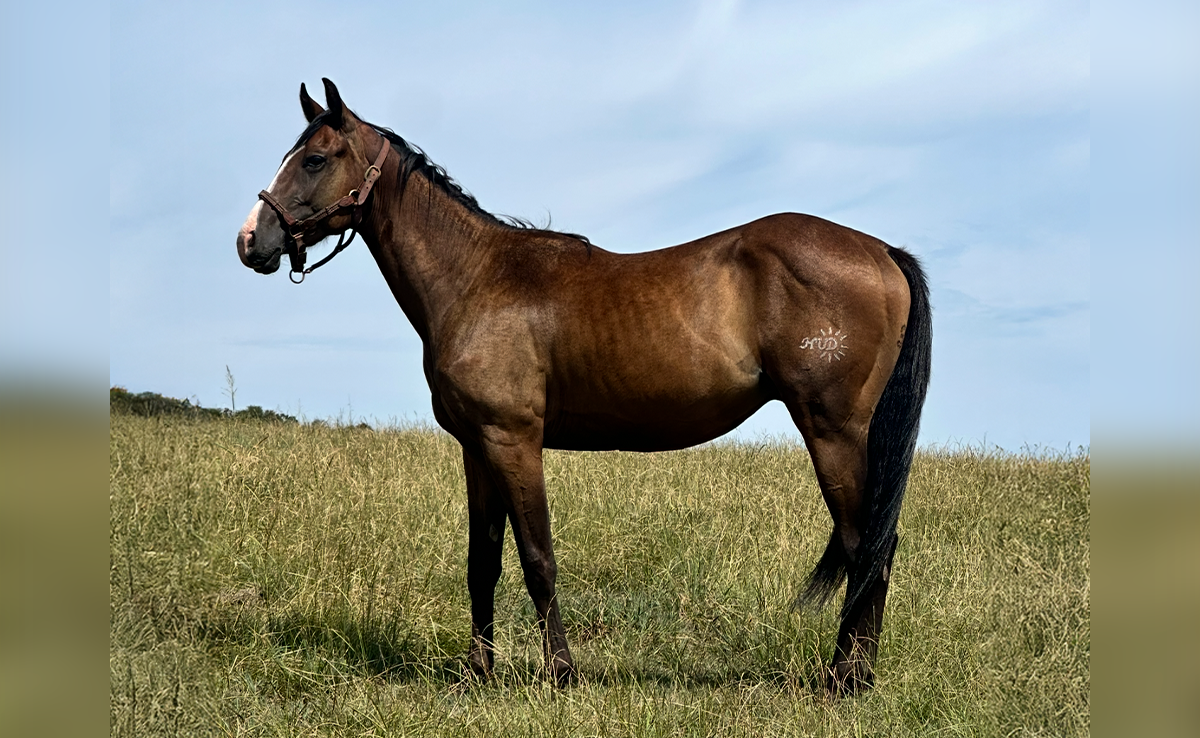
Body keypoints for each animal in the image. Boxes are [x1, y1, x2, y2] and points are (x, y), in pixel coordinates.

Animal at [236, 79, 931, 695]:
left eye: (315, 158)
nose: (250, 241)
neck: (476, 278)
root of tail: (882, 252)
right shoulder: (476, 447)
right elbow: (483, 562)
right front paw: (476, 673)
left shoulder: (513, 440)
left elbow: (537, 557)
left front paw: (560, 673)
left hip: (832, 431)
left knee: (866, 545)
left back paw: (845, 680)